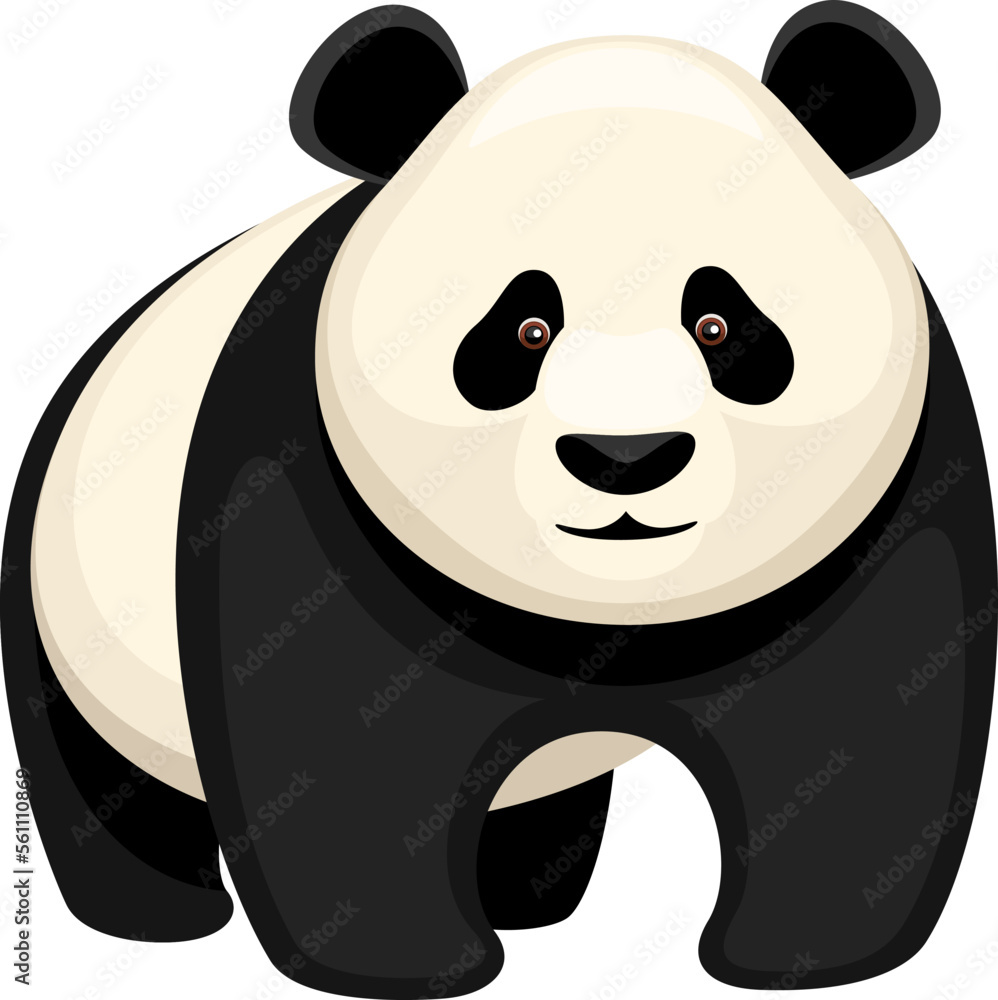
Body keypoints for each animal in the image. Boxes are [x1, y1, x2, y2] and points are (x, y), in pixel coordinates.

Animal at [3, 2, 995, 997]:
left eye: (720, 325)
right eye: (525, 329)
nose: (625, 458)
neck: (609, 613)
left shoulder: (878, 519)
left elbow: (862, 723)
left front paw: (805, 956)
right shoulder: (309, 492)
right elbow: (339, 752)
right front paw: (398, 965)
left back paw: (528, 898)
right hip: (59, 584)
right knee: (97, 774)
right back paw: (154, 921)